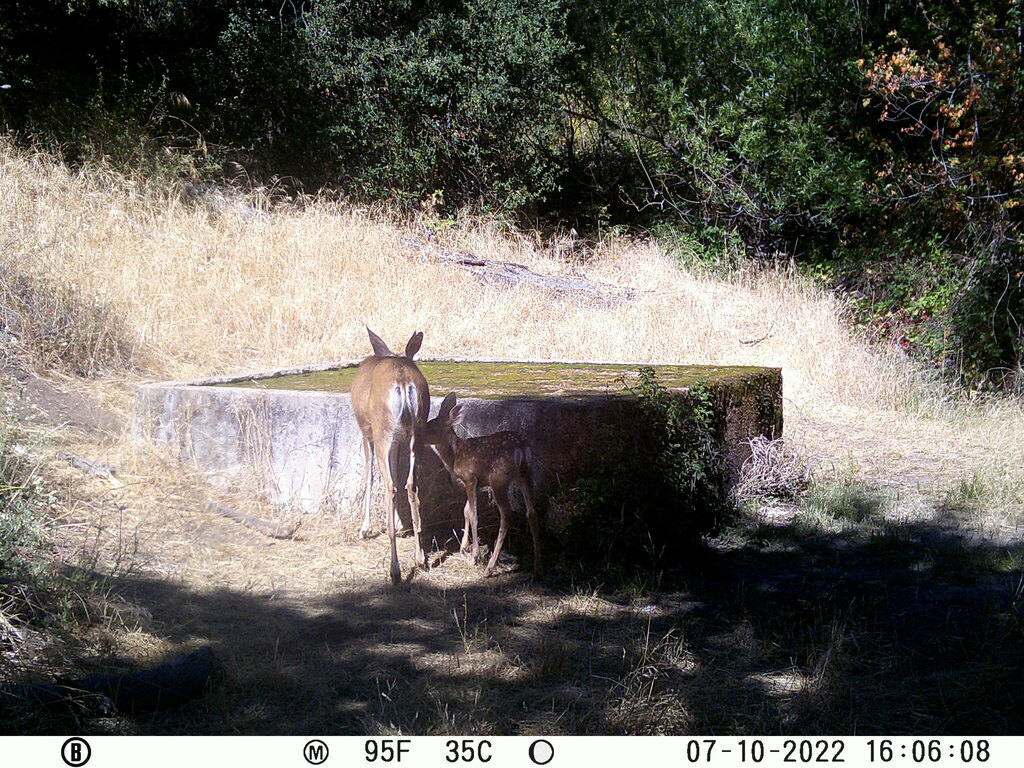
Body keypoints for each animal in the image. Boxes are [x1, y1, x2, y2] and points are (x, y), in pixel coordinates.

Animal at [350, 327, 430, 586]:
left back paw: (395, 571)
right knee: (410, 484)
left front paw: (364, 528)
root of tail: (403, 381)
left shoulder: (367, 433)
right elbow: (396, 472)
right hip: (417, 433)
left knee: (390, 486)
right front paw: (397, 523)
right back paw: (420, 559)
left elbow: (368, 475)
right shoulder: (399, 442)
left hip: (382, 431)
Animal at [423, 392, 541, 577]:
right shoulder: (478, 483)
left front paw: (475, 556)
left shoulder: (470, 478)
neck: (455, 454)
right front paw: (464, 547)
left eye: (432, 428)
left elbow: (473, 514)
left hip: (498, 478)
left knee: (506, 514)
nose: (418, 437)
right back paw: (538, 567)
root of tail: (522, 449)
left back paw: (489, 567)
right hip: (526, 474)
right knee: (532, 512)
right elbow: (466, 511)